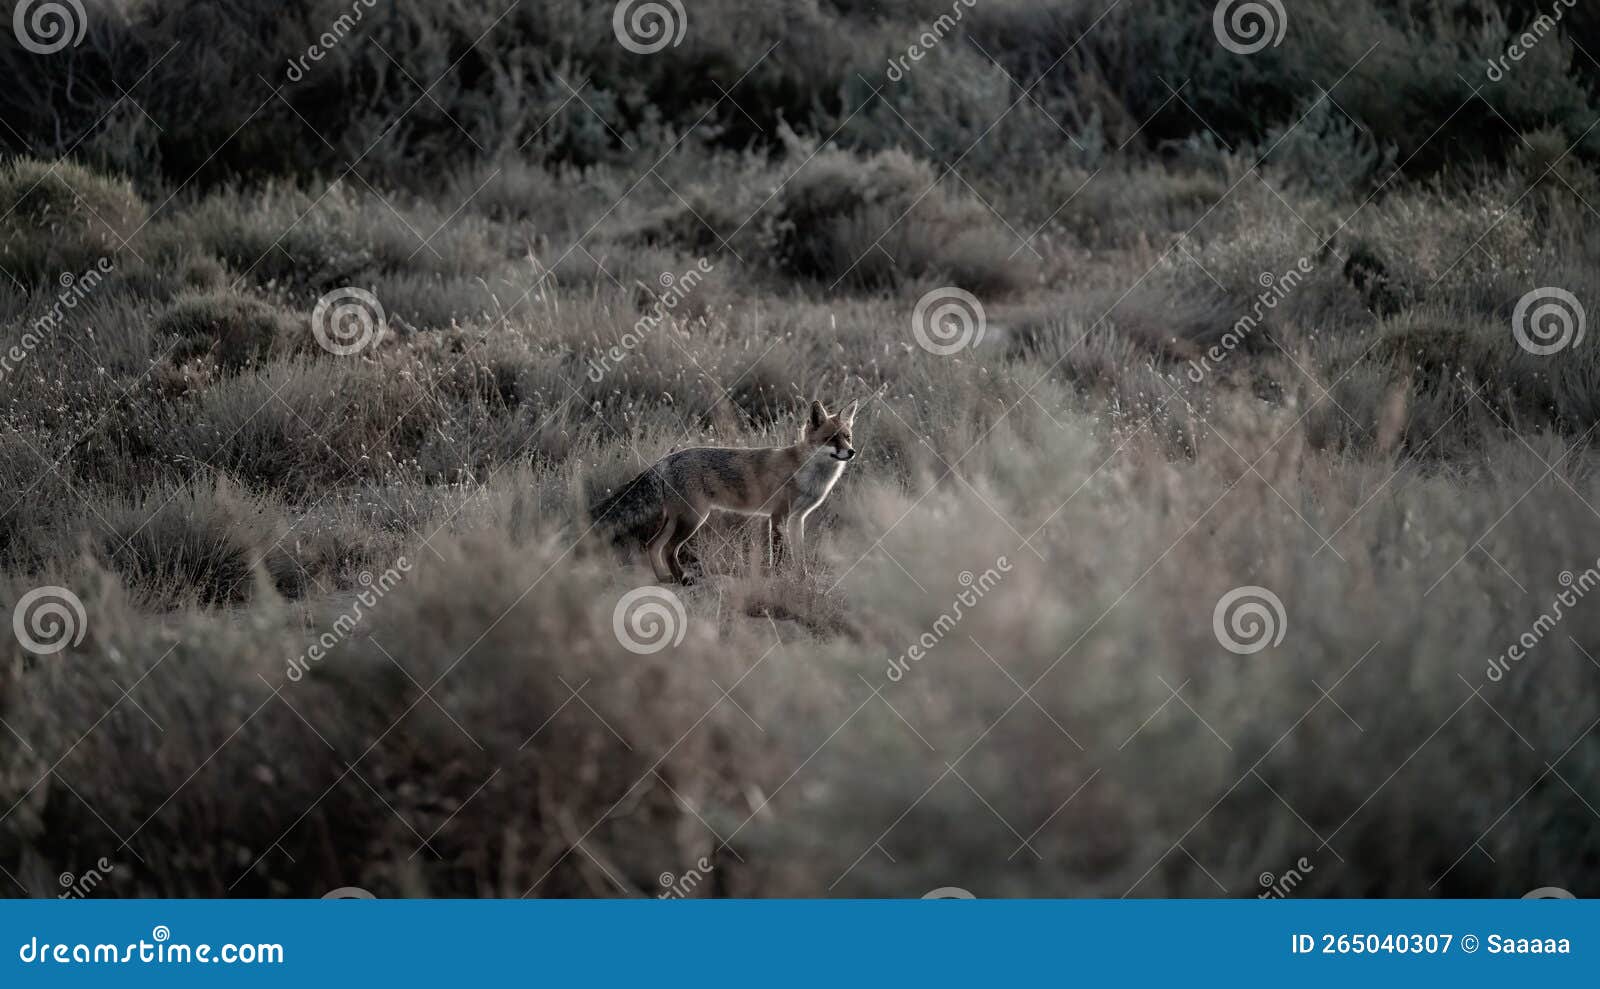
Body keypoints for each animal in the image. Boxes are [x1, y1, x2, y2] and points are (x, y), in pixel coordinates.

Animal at [589, 399, 859, 584]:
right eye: (831, 439)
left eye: (847, 437)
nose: (851, 452)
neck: (806, 472)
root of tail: (666, 459)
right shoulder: (778, 516)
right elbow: (780, 554)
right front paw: (781, 578)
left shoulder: (796, 518)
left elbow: (799, 553)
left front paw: (802, 577)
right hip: (694, 518)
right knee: (667, 549)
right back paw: (682, 578)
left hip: (677, 519)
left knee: (652, 545)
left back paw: (665, 578)